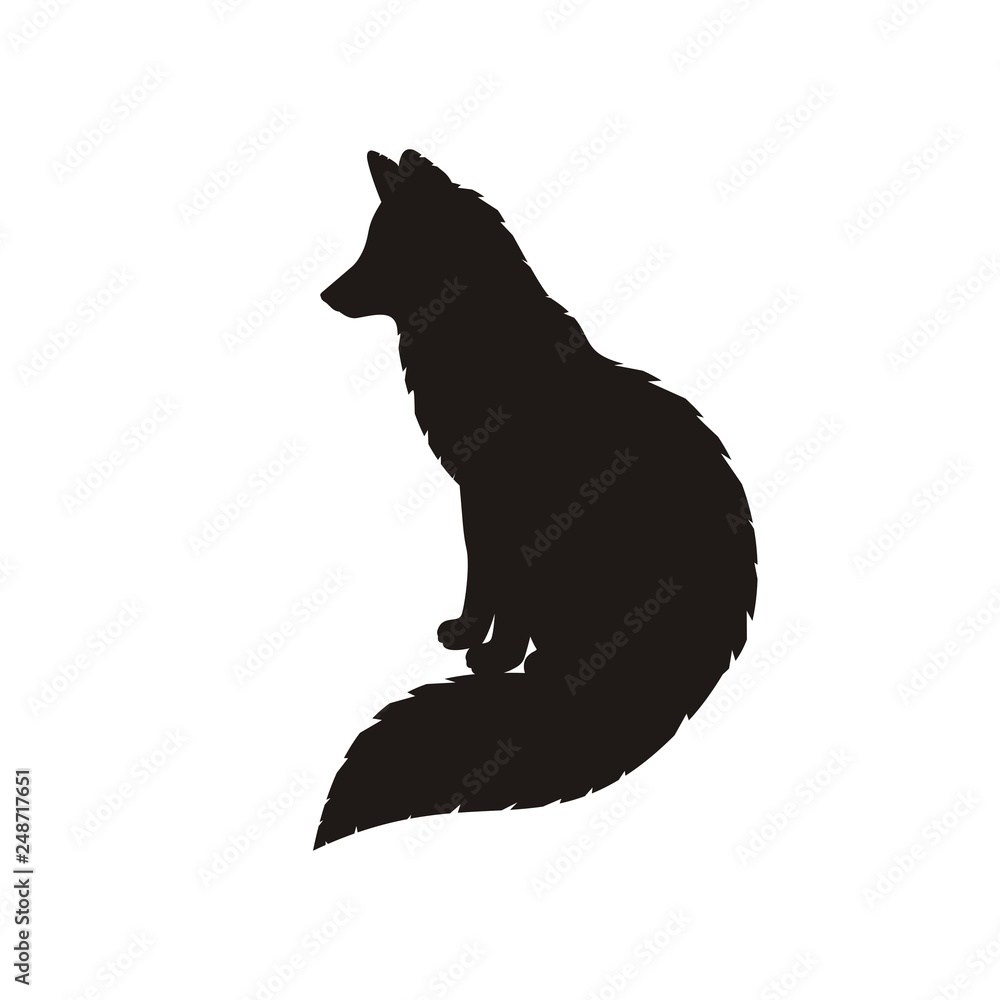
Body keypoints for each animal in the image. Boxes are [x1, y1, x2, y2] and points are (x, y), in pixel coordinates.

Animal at [314, 149, 757, 848]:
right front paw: (468, 633)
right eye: (371, 242)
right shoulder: (474, 499)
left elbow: (504, 589)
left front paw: (493, 656)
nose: (326, 295)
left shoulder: (506, 503)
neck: (483, 342)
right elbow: (482, 579)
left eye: (389, 248)